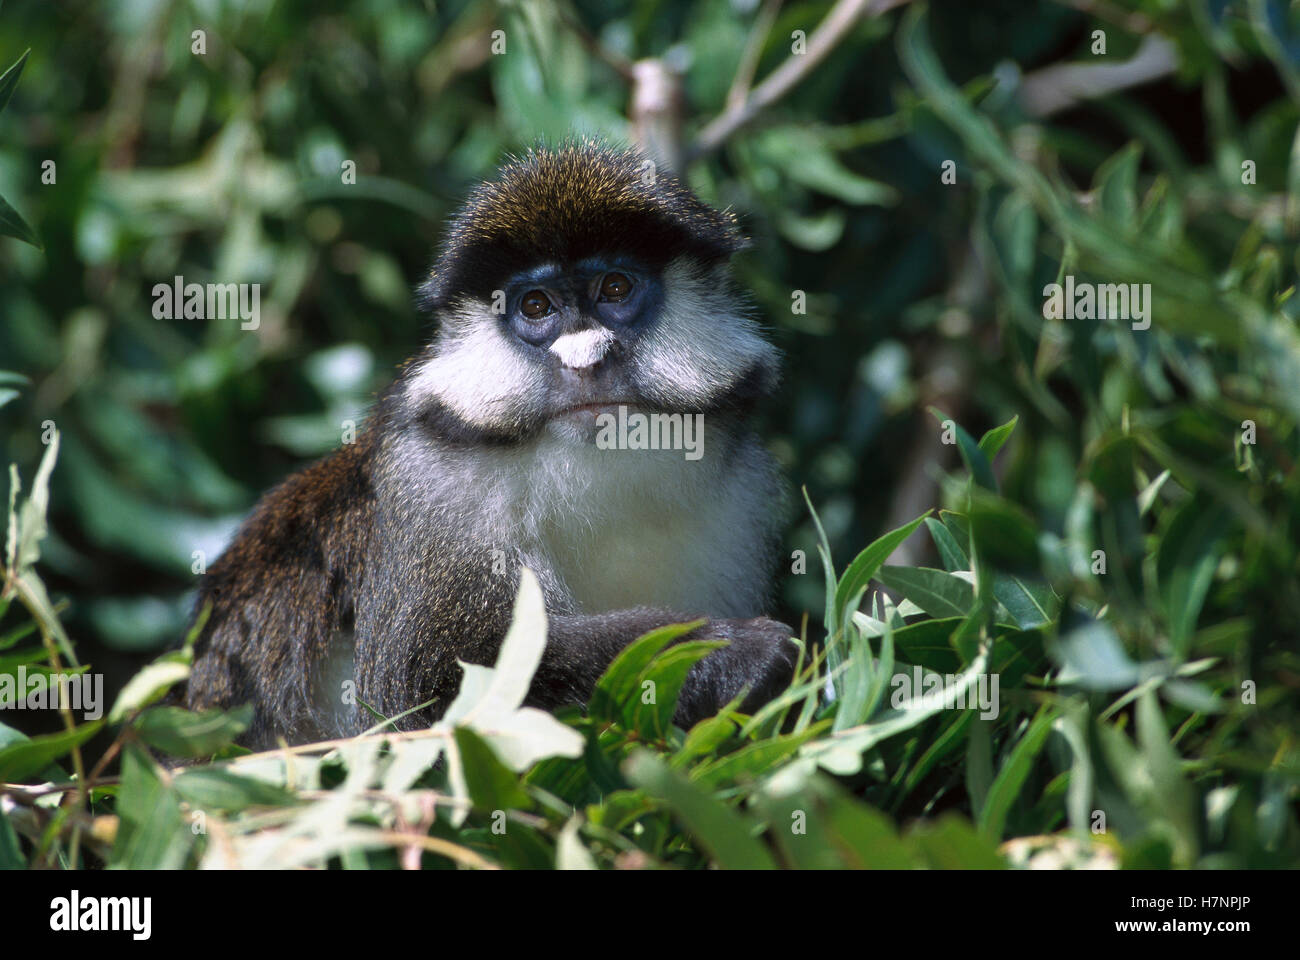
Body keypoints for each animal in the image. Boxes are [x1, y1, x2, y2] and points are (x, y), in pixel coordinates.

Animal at [183, 142, 795, 749]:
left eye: (616, 288)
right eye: (536, 306)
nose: (586, 360)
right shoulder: (433, 486)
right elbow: (428, 688)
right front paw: (738, 652)